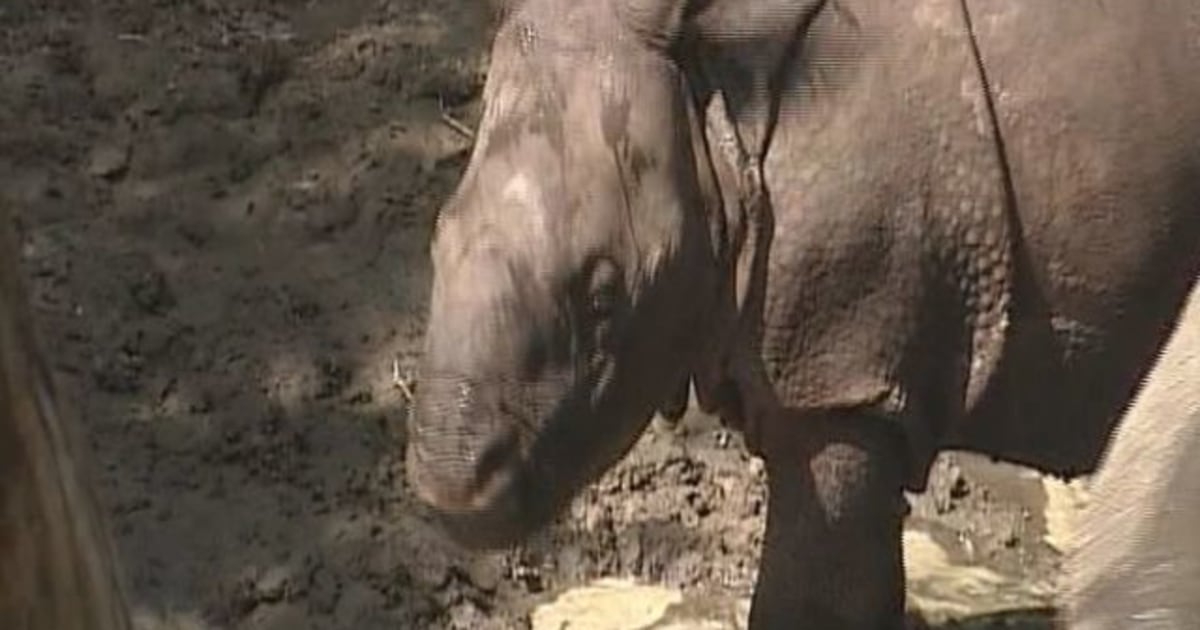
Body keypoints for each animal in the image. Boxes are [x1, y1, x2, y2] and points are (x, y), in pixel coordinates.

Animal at [405, 0, 1200, 626]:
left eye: (604, 299)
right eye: (436, 243)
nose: (450, 489)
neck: (716, 94)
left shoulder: (845, 372)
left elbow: (815, 596)